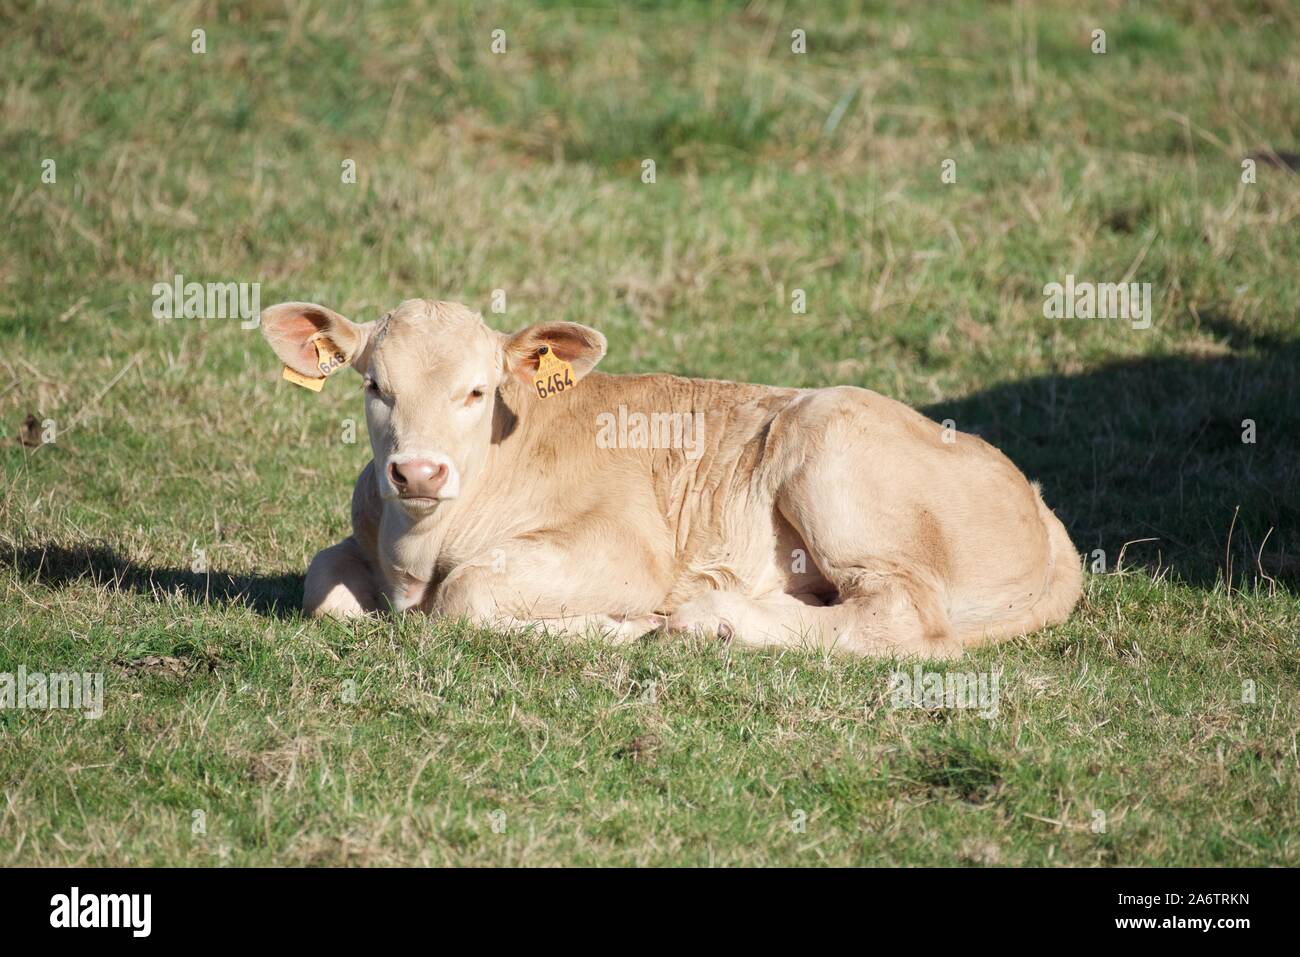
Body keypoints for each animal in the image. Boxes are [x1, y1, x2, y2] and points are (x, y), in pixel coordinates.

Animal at [260, 298, 1082, 657]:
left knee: (902, 617)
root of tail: (1043, 507)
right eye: (375, 386)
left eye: (477, 391)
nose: (419, 470)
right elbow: (323, 584)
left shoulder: (627, 548)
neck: (417, 552)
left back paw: (710, 615)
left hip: (830, 443)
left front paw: (613, 626)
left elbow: (467, 595)